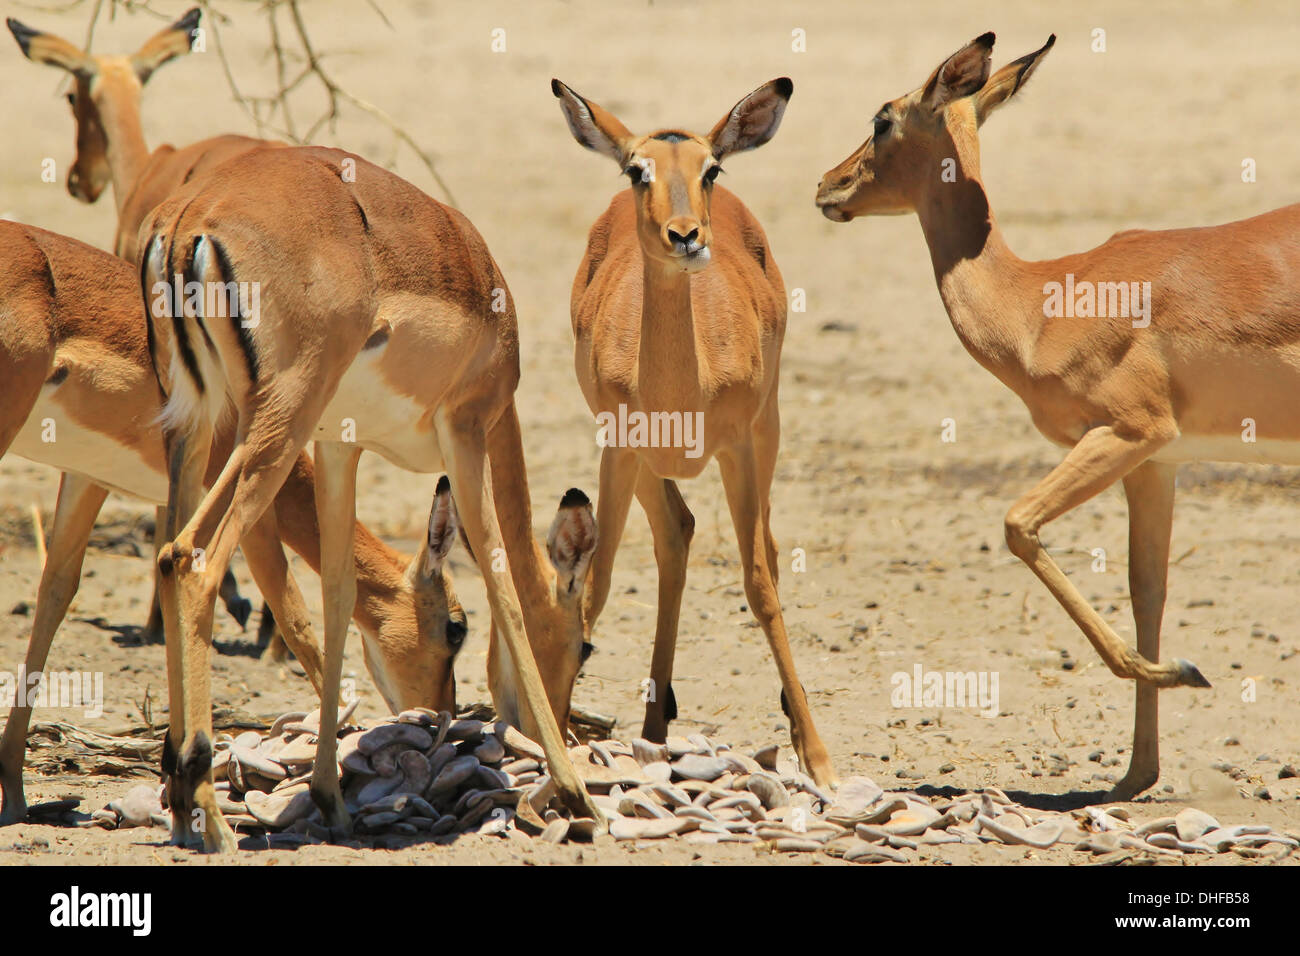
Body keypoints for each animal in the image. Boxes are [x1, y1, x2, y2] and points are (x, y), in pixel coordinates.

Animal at [0, 218, 480, 826]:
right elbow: (295, 620)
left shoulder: (87, 478)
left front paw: (20, 791)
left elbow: (59, 593)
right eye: (456, 627)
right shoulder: (254, 522)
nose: (441, 713)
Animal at [139, 144, 601, 852]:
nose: (441, 711)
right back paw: (210, 815)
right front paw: (576, 794)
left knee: (169, 555)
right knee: (194, 560)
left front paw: (332, 798)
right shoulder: (467, 432)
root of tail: (193, 215)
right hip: (274, 423)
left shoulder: (339, 448)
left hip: (198, 422)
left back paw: (182, 804)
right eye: (583, 646)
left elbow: (338, 596)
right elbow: (504, 589)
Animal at [552, 78, 838, 789]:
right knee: (675, 534)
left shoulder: (740, 448)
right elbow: (594, 586)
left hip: (767, 434)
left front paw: (820, 761)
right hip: (645, 462)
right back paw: (654, 724)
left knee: (762, 551)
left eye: (711, 169)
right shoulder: (619, 448)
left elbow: (759, 583)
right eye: (637, 170)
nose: (685, 236)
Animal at [809, 32, 1300, 799]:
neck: (1039, 306)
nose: (827, 186)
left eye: (882, 119)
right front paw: (1136, 775)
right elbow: (1148, 591)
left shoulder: (1130, 431)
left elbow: (1018, 524)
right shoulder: (1157, 461)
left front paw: (1185, 673)